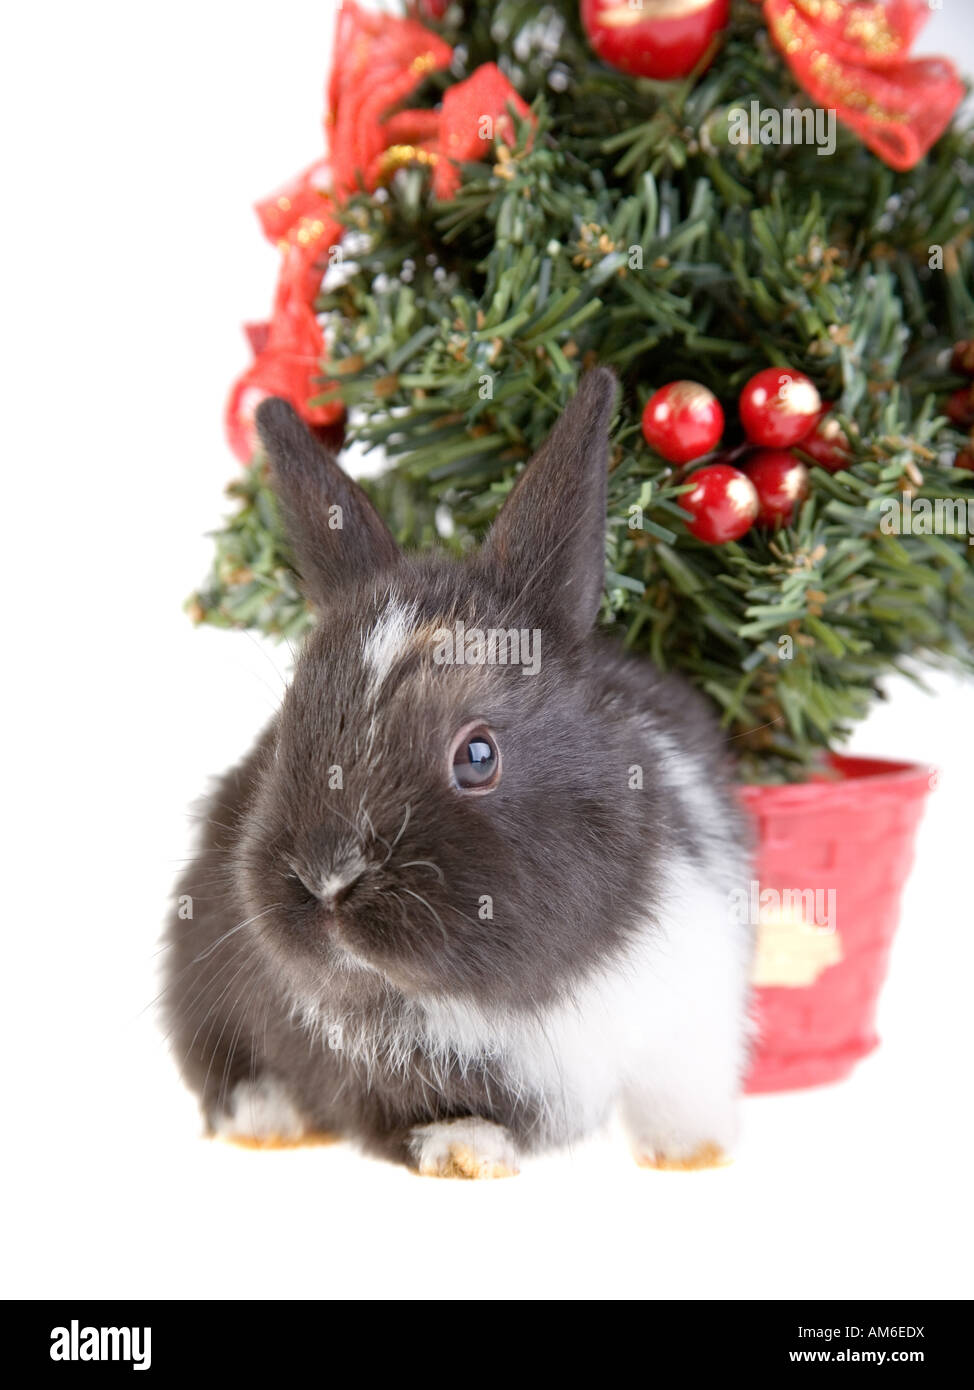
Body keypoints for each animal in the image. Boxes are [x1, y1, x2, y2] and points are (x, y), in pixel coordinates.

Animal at [165, 368, 754, 1178]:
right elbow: (433, 1113)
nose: (328, 877)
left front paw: (693, 1156)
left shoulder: (690, 1010)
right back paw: (267, 1122)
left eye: (478, 756)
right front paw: (468, 1152)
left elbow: (677, 1099)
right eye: (288, 726)